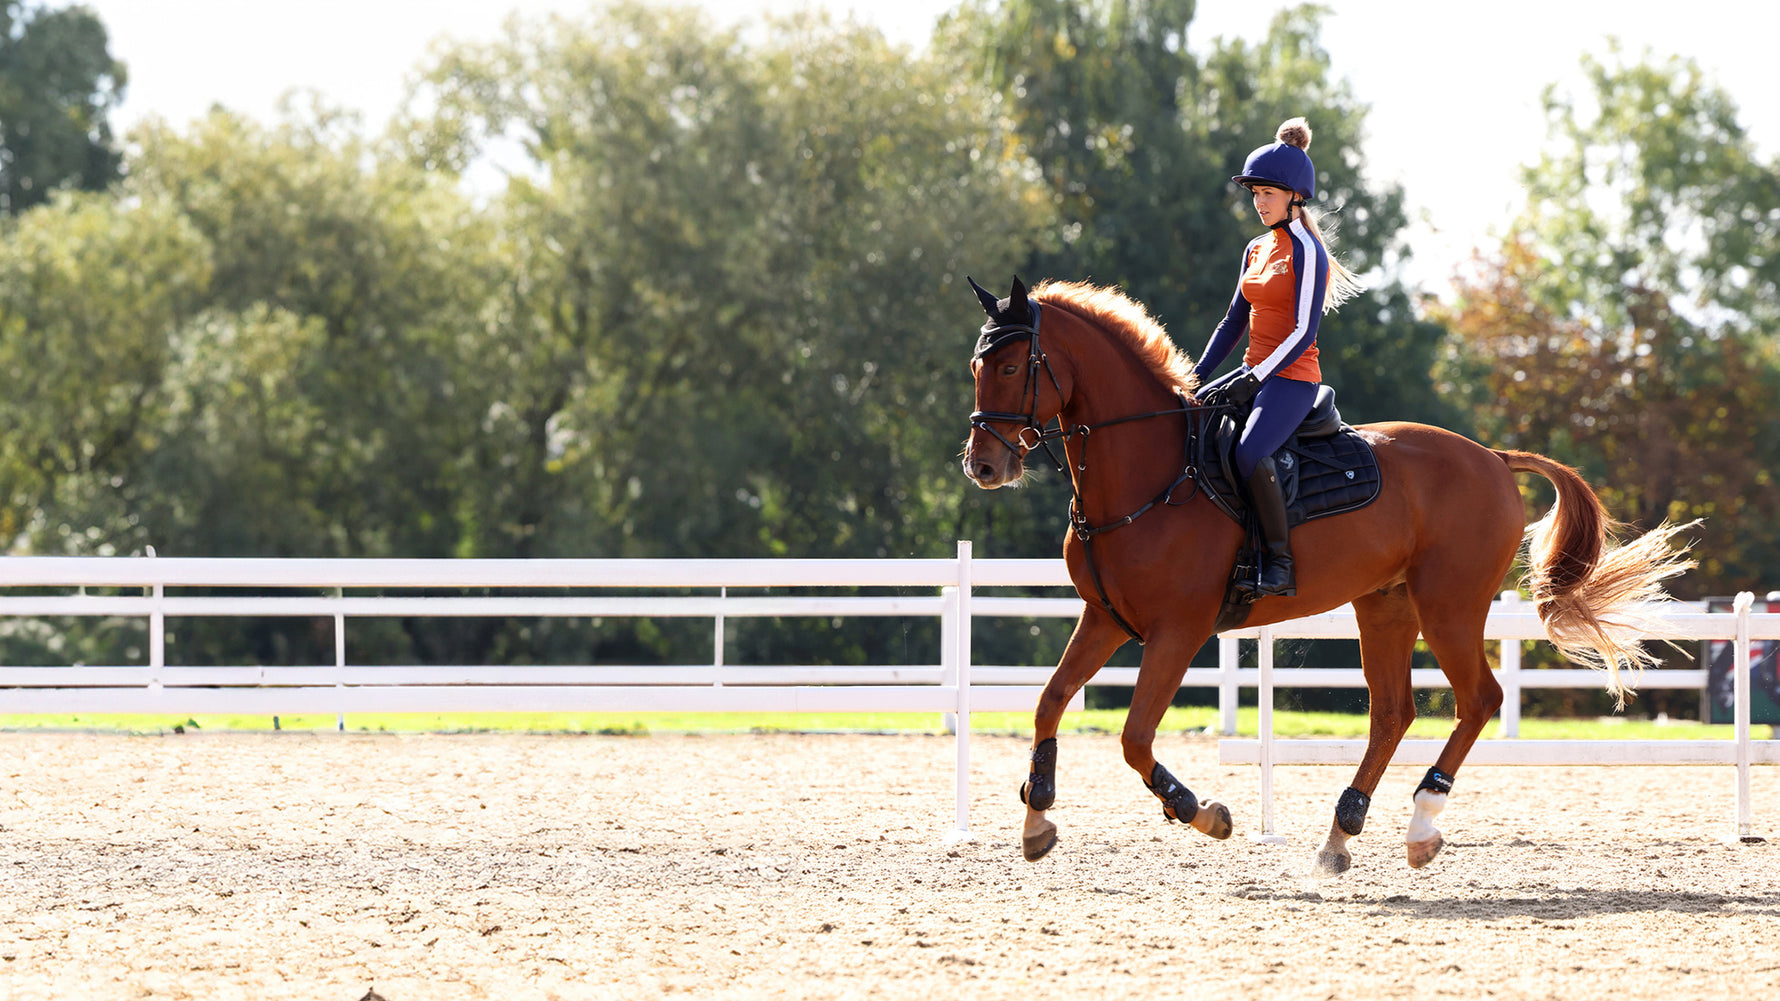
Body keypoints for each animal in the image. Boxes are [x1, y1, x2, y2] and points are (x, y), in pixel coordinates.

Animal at [960, 276, 1693, 874]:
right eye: (977, 365)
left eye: (1010, 365)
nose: (983, 465)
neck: (1151, 470)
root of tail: (1489, 455)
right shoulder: (1105, 618)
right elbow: (1051, 700)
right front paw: (1037, 816)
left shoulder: (1178, 630)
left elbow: (1136, 738)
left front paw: (1203, 812)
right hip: (1387, 605)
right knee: (1393, 713)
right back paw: (1342, 831)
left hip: (1449, 606)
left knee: (1478, 699)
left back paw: (1421, 825)